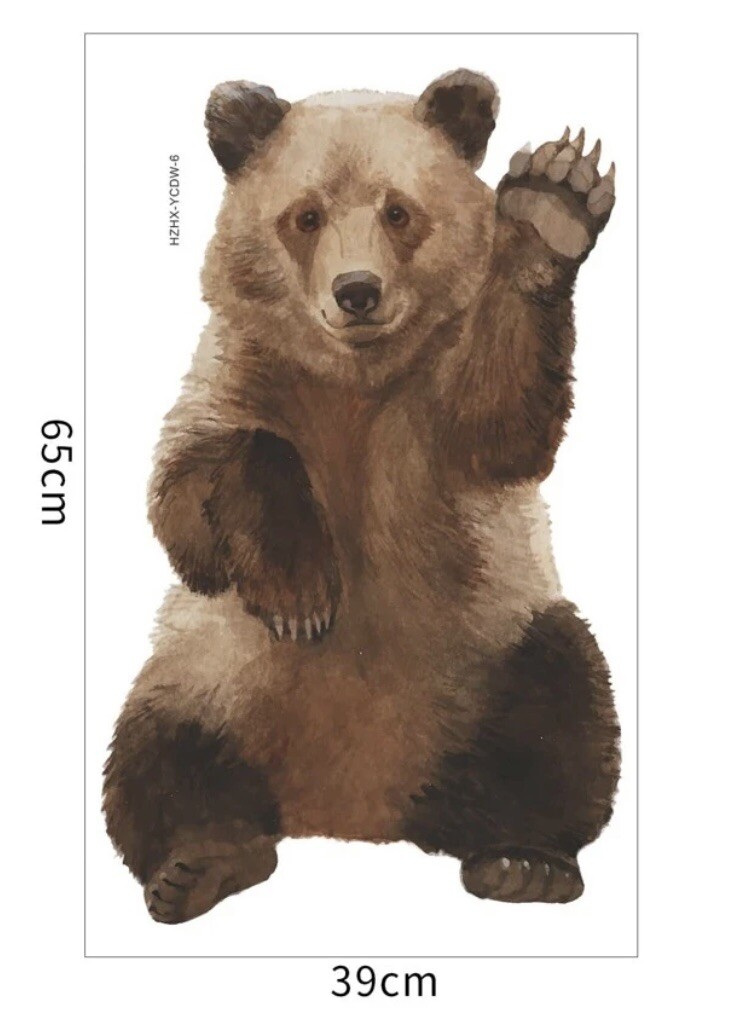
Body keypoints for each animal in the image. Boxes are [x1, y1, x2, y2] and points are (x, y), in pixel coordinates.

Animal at [103, 68, 620, 924]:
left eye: (398, 210)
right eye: (305, 215)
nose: (356, 292)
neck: (355, 378)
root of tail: (352, 812)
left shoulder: (432, 417)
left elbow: (501, 418)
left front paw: (551, 202)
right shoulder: (243, 372)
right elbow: (190, 500)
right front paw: (302, 595)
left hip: (489, 649)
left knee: (564, 707)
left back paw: (524, 860)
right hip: (211, 679)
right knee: (156, 756)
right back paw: (202, 862)